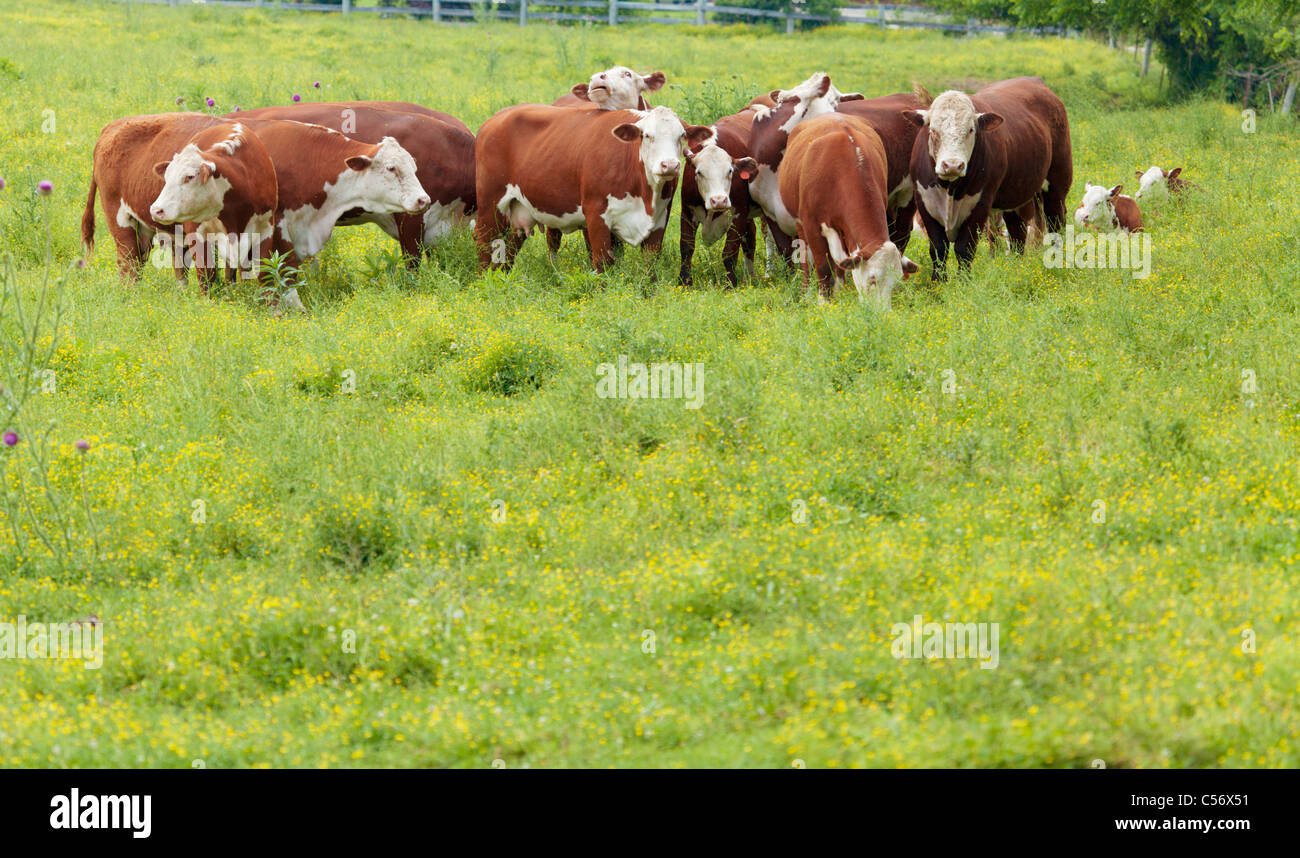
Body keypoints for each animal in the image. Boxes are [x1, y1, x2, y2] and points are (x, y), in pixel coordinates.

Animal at [82, 115, 276, 284]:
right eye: (166, 177)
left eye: (189, 177)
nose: (156, 210)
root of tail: (112, 126)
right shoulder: (197, 235)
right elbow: (208, 279)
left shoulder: (265, 230)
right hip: (121, 221)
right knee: (129, 265)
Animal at [475, 104, 711, 271]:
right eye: (646, 136)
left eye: (682, 136)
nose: (670, 165)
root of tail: (495, 119)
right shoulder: (596, 214)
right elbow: (603, 261)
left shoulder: (660, 217)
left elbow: (650, 262)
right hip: (490, 203)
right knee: (484, 241)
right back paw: (486, 281)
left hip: (519, 209)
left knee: (509, 250)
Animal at [678, 109, 759, 288]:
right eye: (699, 172)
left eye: (730, 171)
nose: (719, 200)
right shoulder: (687, 211)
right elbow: (687, 247)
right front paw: (685, 281)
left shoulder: (738, 215)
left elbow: (730, 252)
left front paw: (731, 284)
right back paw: (750, 276)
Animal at [777, 113, 917, 308]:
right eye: (872, 279)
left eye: (895, 282)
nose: (882, 313)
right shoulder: (811, 225)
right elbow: (822, 266)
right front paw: (824, 302)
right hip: (799, 223)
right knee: (807, 258)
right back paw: (806, 292)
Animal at [904, 76, 1072, 279]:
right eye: (933, 130)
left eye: (970, 130)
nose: (952, 165)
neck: (950, 189)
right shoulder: (925, 203)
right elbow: (938, 250)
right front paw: (939, 283)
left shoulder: (980, 204)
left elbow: (964, 249)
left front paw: (963, 281)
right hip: (1013, 197)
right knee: (1017, 233)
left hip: (1057, 183)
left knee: (1056, 222)